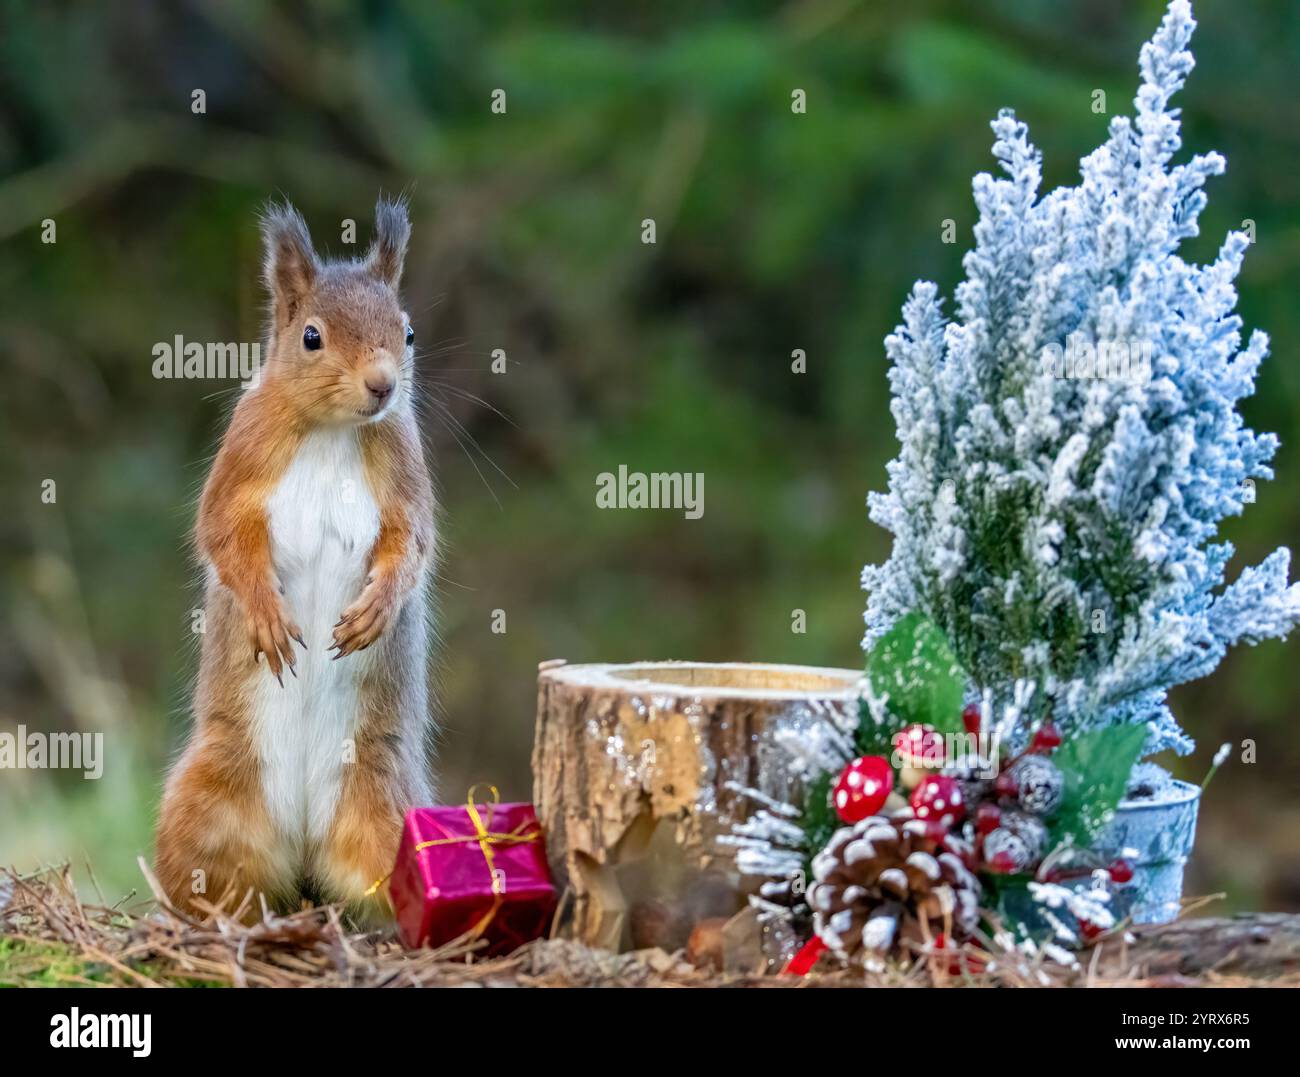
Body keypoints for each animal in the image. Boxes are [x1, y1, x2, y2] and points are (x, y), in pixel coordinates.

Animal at [156, 198, 436, 923]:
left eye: (409, 332)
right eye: (311, 337)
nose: (382, 386)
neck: (334, 430)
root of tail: (307, 844)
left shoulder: (404, 472)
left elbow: (412, 544)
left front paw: (375, 611)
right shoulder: (242, 458)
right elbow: (221, 533)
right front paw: (266, 615)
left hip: (389, 803)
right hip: (208, 804)